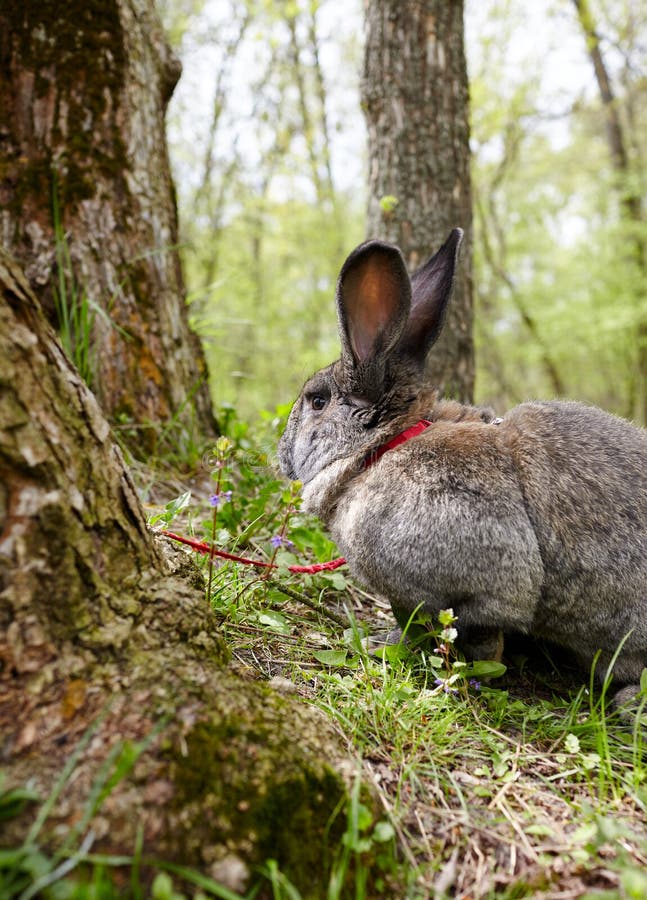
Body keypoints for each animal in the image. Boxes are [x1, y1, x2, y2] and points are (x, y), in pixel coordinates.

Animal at [278, 228, 647, 703]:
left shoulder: (472, 581)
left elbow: (456, 625)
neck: (388, 444)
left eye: (317, 401)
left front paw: (391, 646)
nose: (281, 453)